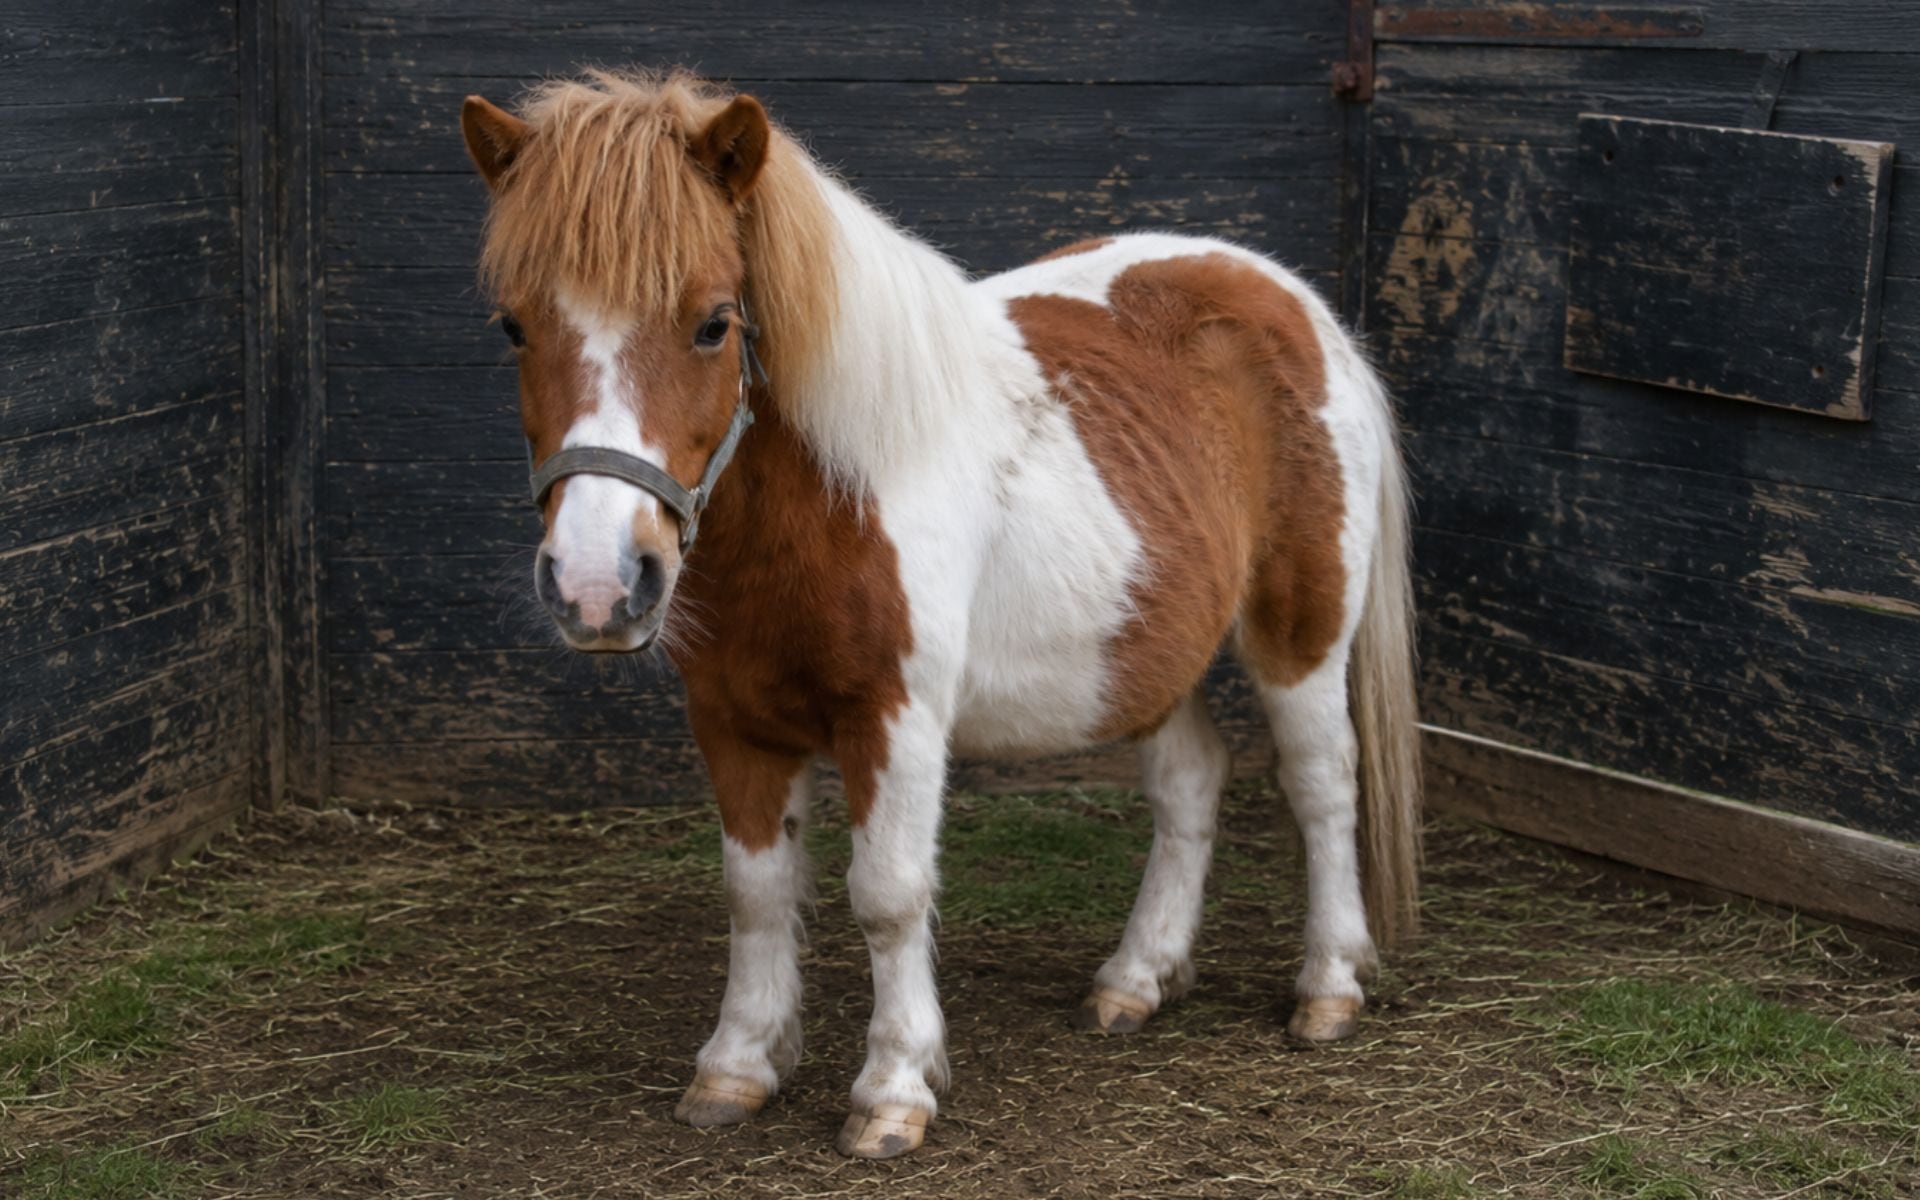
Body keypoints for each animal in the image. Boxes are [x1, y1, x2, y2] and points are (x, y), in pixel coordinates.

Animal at [457, 69, 1421, 1159]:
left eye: (712, 323)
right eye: (515, 326)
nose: (595, 585)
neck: (830, 492)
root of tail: (1293, 300)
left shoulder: (896, 719)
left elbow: (887, 895)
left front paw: (893, 1090)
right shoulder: (731, 721)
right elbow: (756, 894)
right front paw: (738, 1067)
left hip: (1303, 630)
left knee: (1322, 782)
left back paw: (1328, 987)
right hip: (1147, 648)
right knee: (1190, 781)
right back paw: (1136, 980)